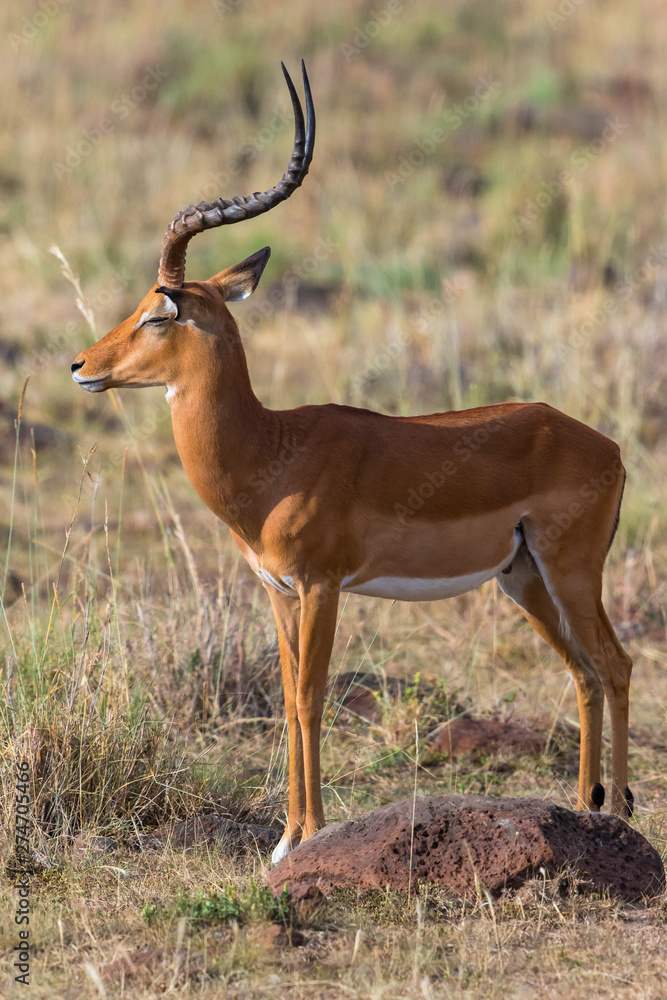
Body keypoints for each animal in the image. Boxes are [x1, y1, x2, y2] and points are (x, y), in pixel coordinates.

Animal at [72, 62, 634, 864]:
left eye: (159, 312)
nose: (81, 365)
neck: (271, 454)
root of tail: (604, 444)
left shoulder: (322, 585)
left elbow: (311, 699)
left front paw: (304, 839)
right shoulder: (277, 590)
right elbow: (286, 698)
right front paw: (284, 838)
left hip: (570, 570)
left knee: (615, 665)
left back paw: (623, 814)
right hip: (523, 578)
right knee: (584, 672)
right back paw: (584, 805)